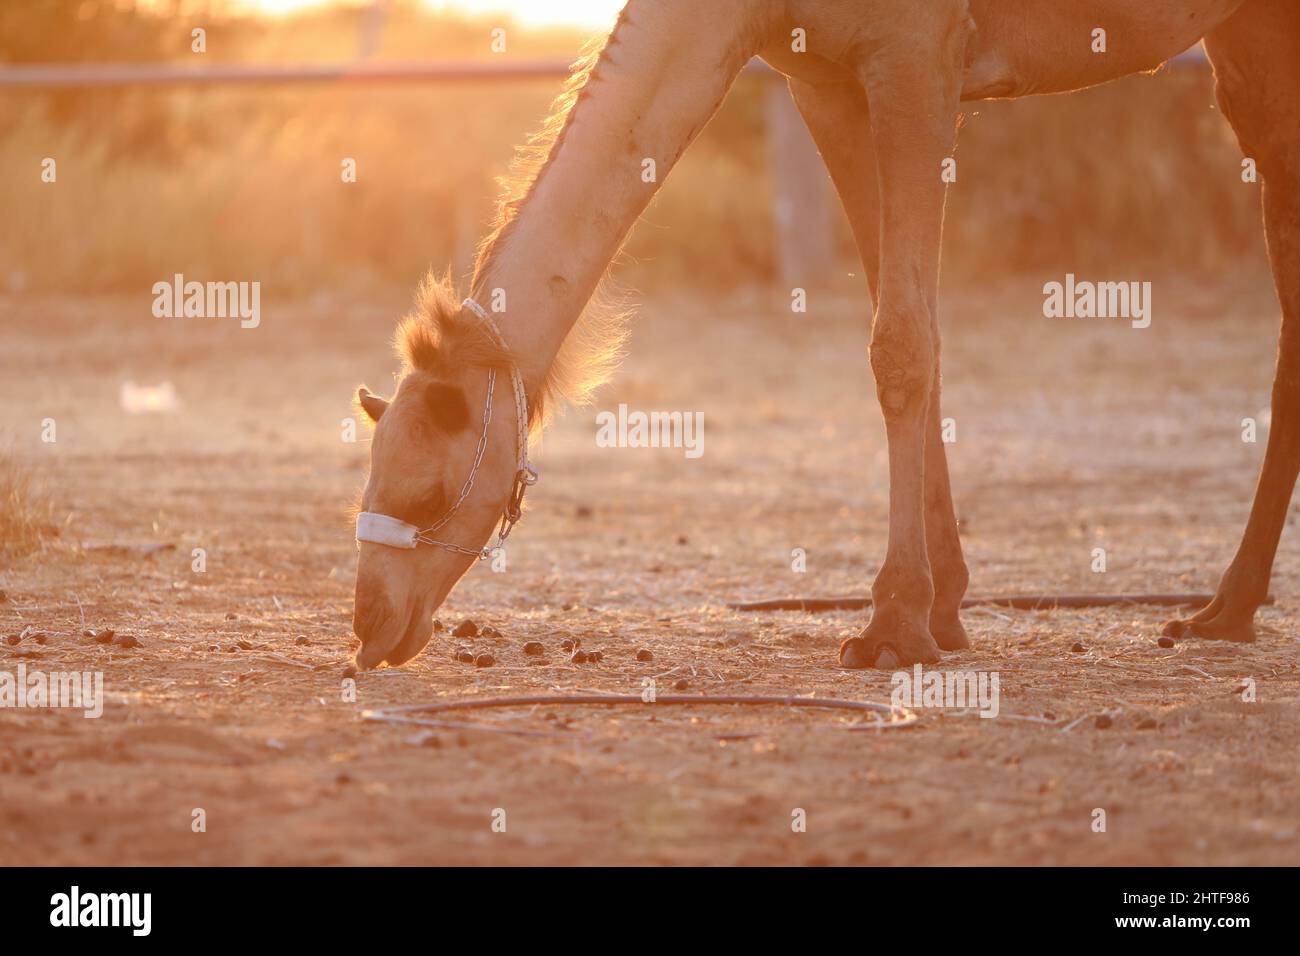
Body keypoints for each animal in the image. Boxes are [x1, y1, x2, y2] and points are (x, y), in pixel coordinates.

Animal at [349, 0, 1299, 671]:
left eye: (428, 494)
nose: (370, 622)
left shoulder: (917, 62)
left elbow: (902, 346)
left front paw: (893, 627)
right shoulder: (827, 83)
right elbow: (909, 327)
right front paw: (943, 610)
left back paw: (1226, 606)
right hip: (1248, 39)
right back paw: (1224, 611)